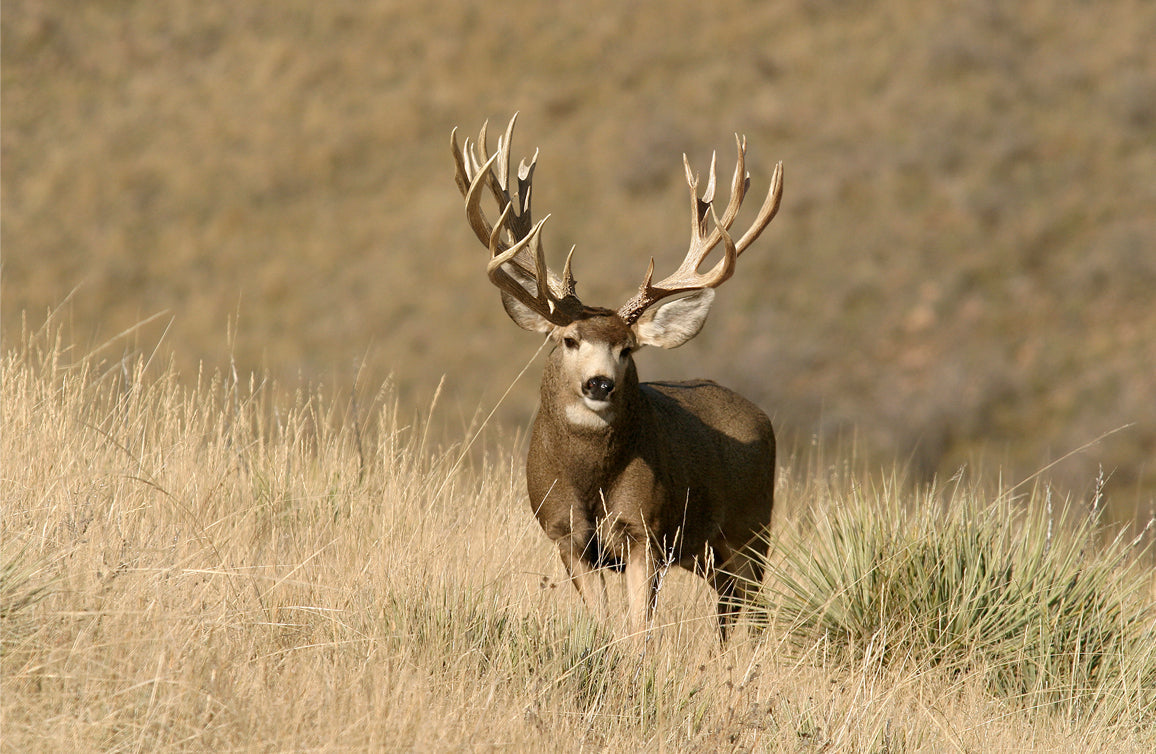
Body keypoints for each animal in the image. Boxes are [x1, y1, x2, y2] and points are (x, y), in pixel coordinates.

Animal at [451, 114, 783, 645]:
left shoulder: (646, 530)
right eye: (568, 339)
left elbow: (638, 628)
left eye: (628, 349)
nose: (599, 384)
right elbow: (602, 624)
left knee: (751, 608)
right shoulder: (564, 534)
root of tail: (761, 416)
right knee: (731, 608)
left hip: (751, 529)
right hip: (712, 554)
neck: (590, 479)